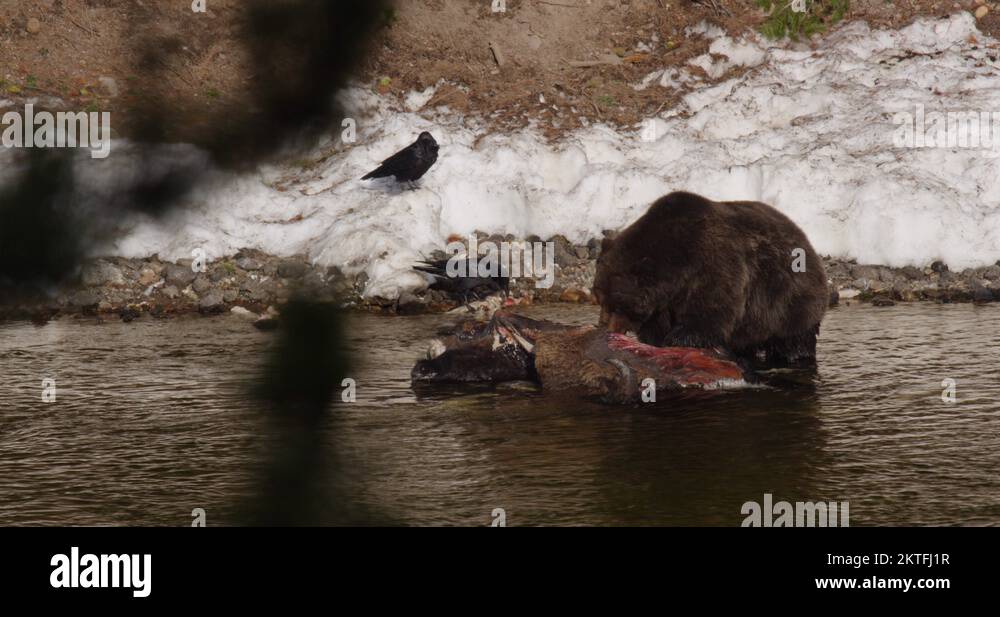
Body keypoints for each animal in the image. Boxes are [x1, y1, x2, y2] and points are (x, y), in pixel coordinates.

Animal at [592, 191, 828, 366]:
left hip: (789, 301)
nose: (604, 328)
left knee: (794, 339)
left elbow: (710, 312)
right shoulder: (664, 301)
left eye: (616, 304)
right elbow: (656, 325)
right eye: (598, 297)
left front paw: (678, 340)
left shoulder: (714, 265)